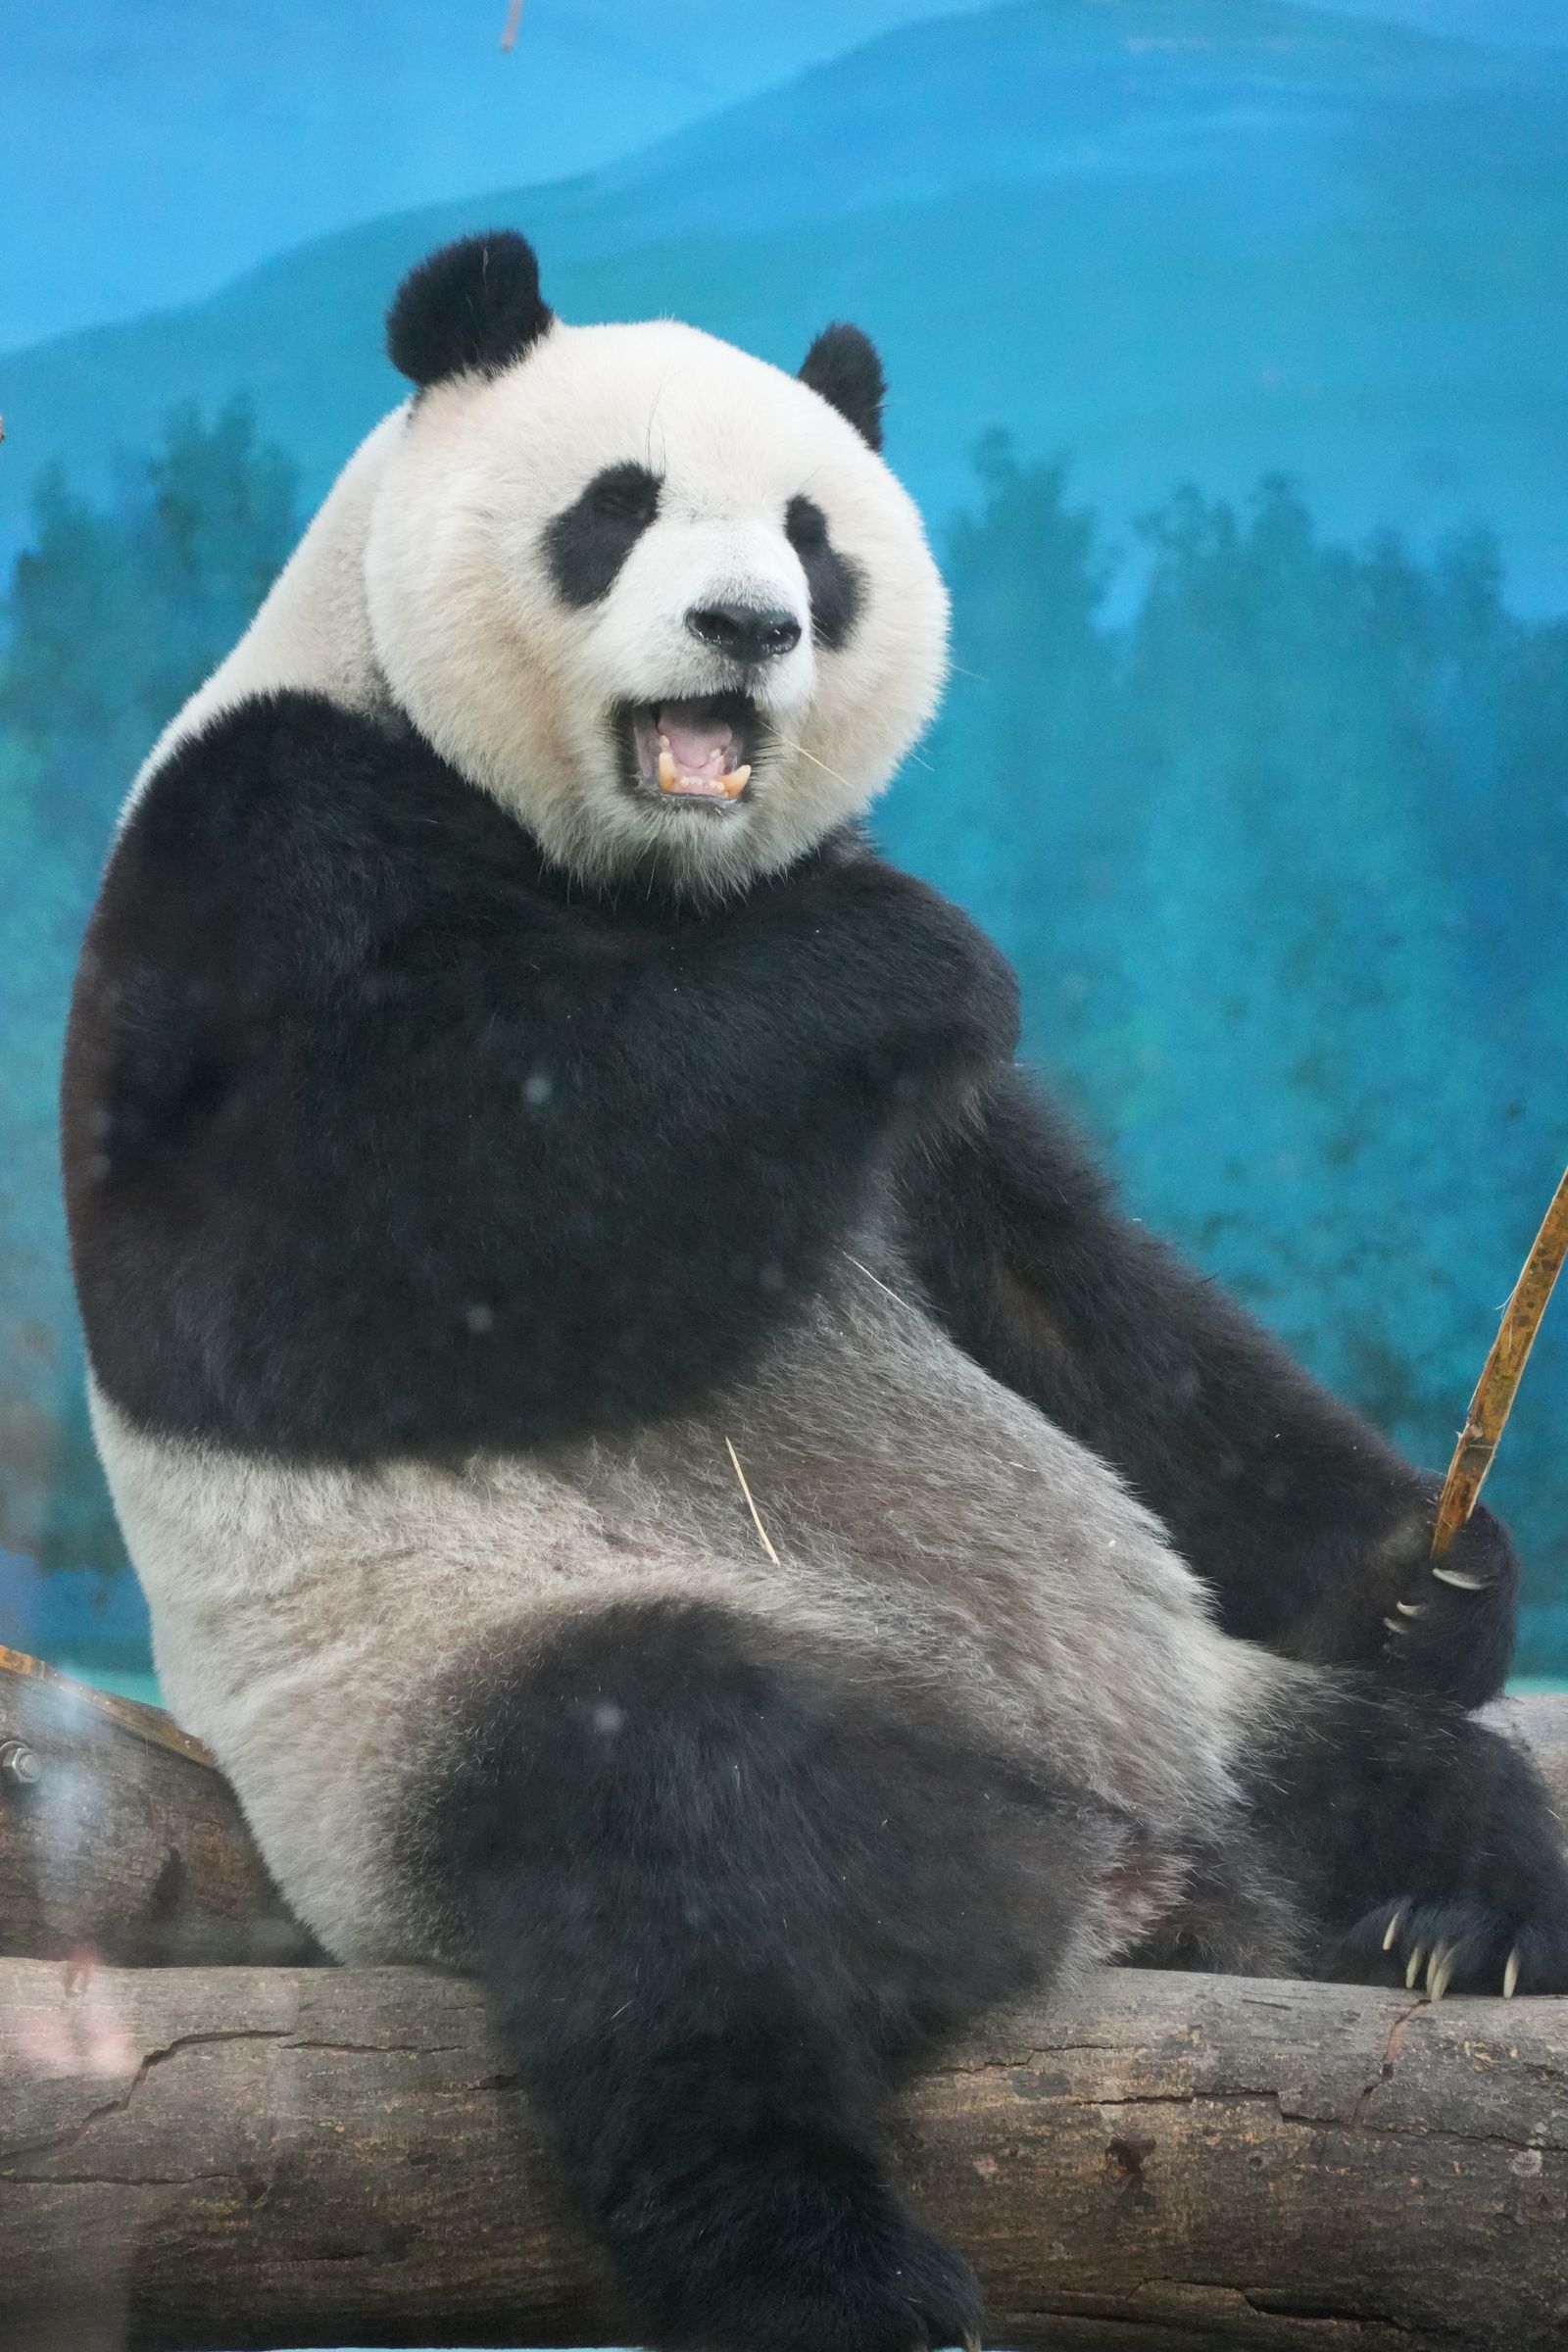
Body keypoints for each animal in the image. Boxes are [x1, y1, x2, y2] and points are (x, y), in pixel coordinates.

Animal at [63, 231, 1568, 2352]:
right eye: (614, 508)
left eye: (809, 532)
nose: (747, 626)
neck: (643, 877)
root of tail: (1118, 1857)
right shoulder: (268, 837)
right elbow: (330, 1251)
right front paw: (893, 954)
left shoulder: (922, 1148)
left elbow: (1070, 1294)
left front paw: (1427, 1581)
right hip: (454, 1695)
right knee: (678, 1868)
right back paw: (838, 2262)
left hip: (1198, 1699)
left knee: (1402, 1772)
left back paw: (1450, 1914)